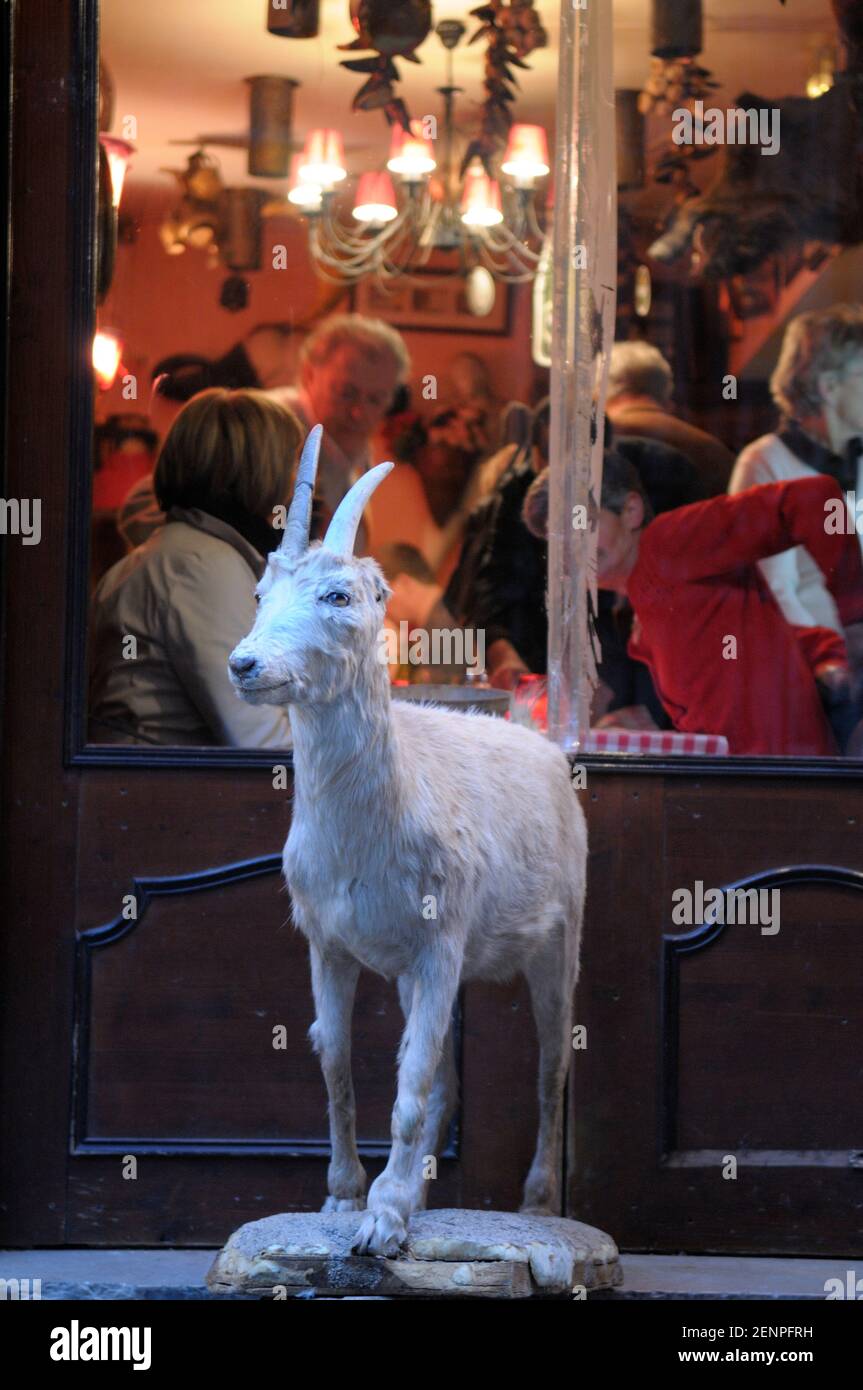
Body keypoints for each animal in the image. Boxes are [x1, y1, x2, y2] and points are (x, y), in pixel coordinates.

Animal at [228, 426, 587, 1257]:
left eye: (339, 595)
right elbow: (336, 1059)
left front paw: (383, 1221)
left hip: (561, 936)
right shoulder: (330, 941)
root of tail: (544, 743)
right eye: (261, 593)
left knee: (551, 1064)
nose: (245, 664)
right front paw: (344, 1198)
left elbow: (412, 1079)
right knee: (451, 1080)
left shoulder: (440, 941)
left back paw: (537, 1203)